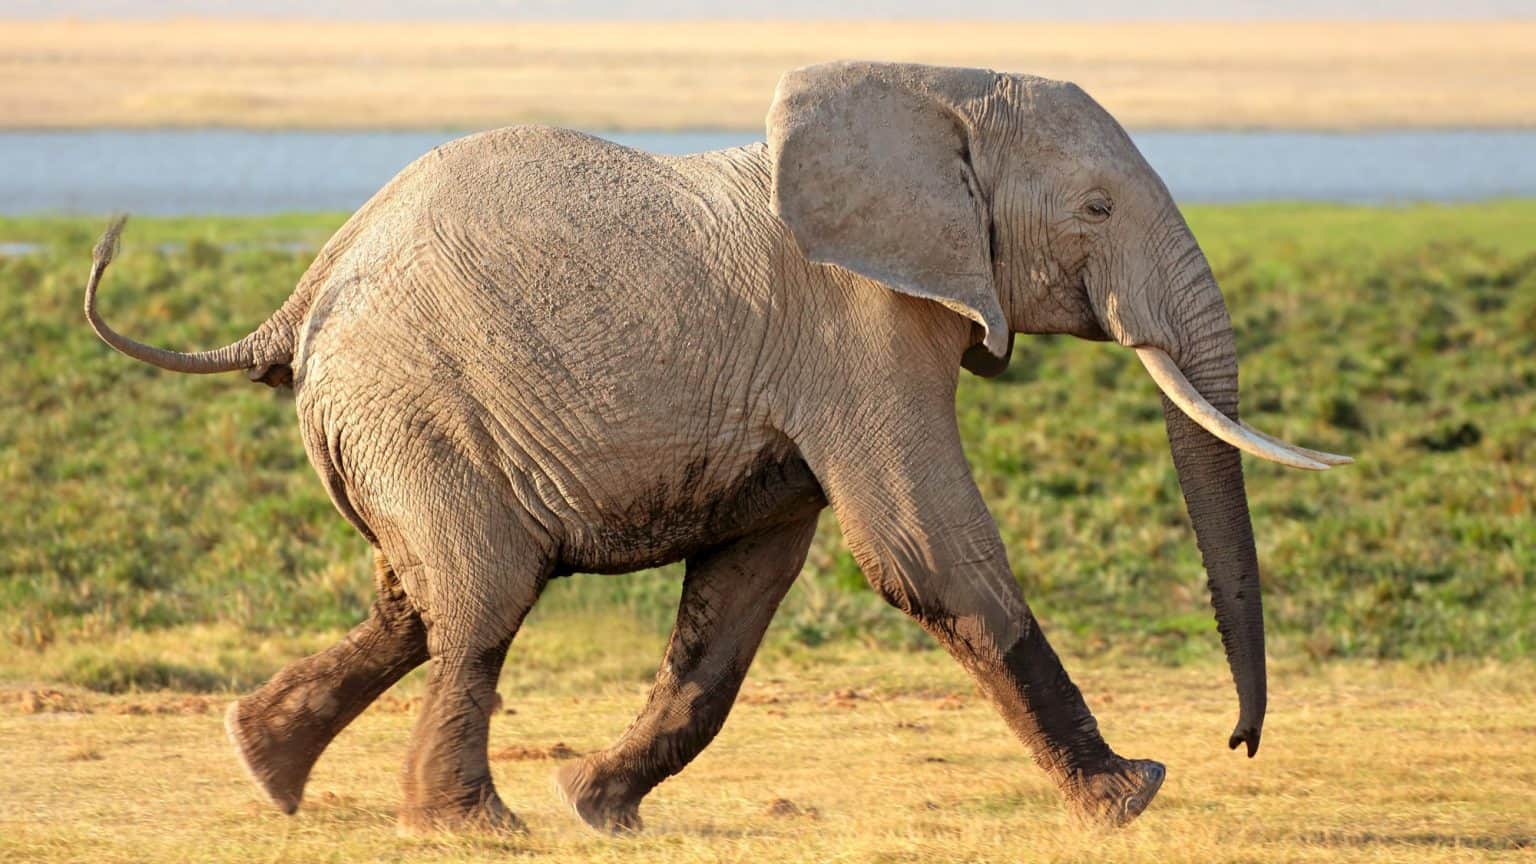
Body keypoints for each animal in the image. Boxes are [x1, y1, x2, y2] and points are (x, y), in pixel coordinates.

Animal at [84, 61, 1349, 833]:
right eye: (1095, 210)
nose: (1237, 742)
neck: (929, 88)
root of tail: (300, 297)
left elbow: (740, 599)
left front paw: (598, 804)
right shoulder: (857, 328)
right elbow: (924, 553)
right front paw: (1131, 796)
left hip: (393, 423)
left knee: (413, 599)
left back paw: (266, 767)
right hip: (415, 405)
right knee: (482, 596)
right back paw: (470, 826)